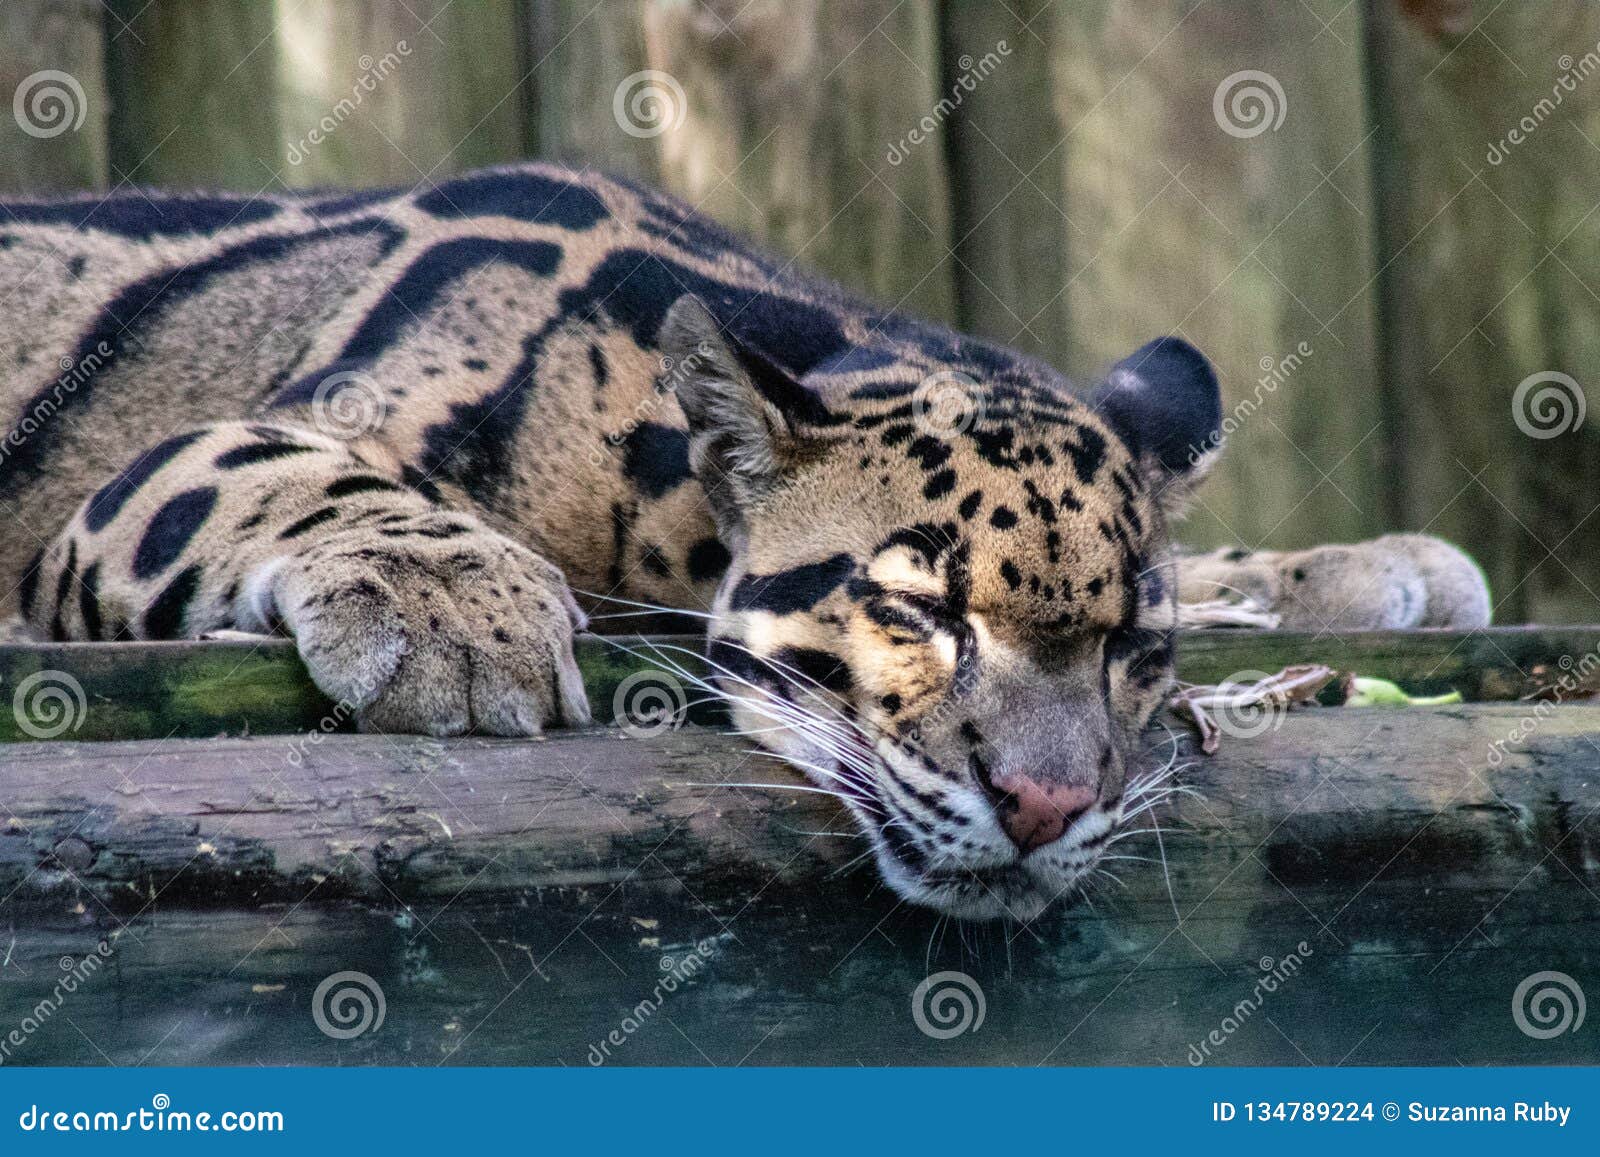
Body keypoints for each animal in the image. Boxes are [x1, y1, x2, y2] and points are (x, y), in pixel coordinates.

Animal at [0, 161, 1485, 920]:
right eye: (917, 612)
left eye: (1131, 646)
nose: (1047, 808)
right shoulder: (170, 465)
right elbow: (294, 471)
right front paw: (456, 602)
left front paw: (1342, 569)